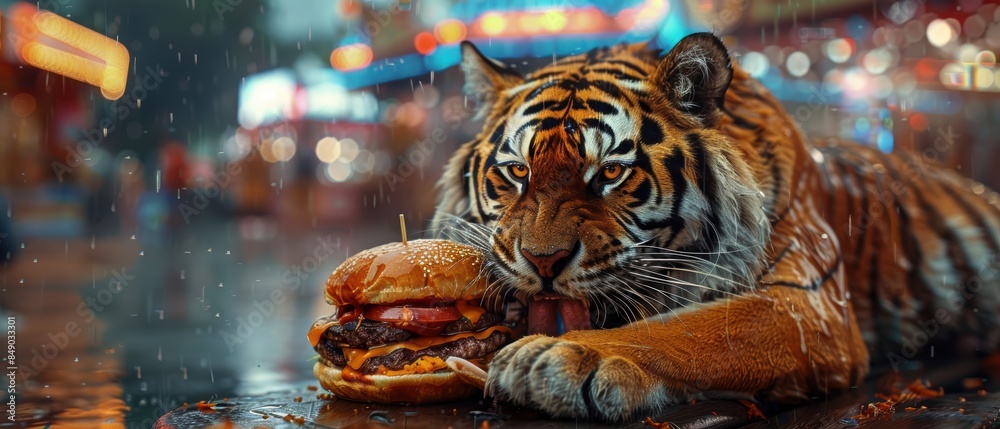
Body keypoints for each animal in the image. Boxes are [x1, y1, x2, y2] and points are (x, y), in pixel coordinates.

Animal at [430, 32, 1000, 421]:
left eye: (610, 172)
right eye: (517, 172)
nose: (543, 262)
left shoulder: (808, 306)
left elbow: (692, 329)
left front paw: (559, 358)